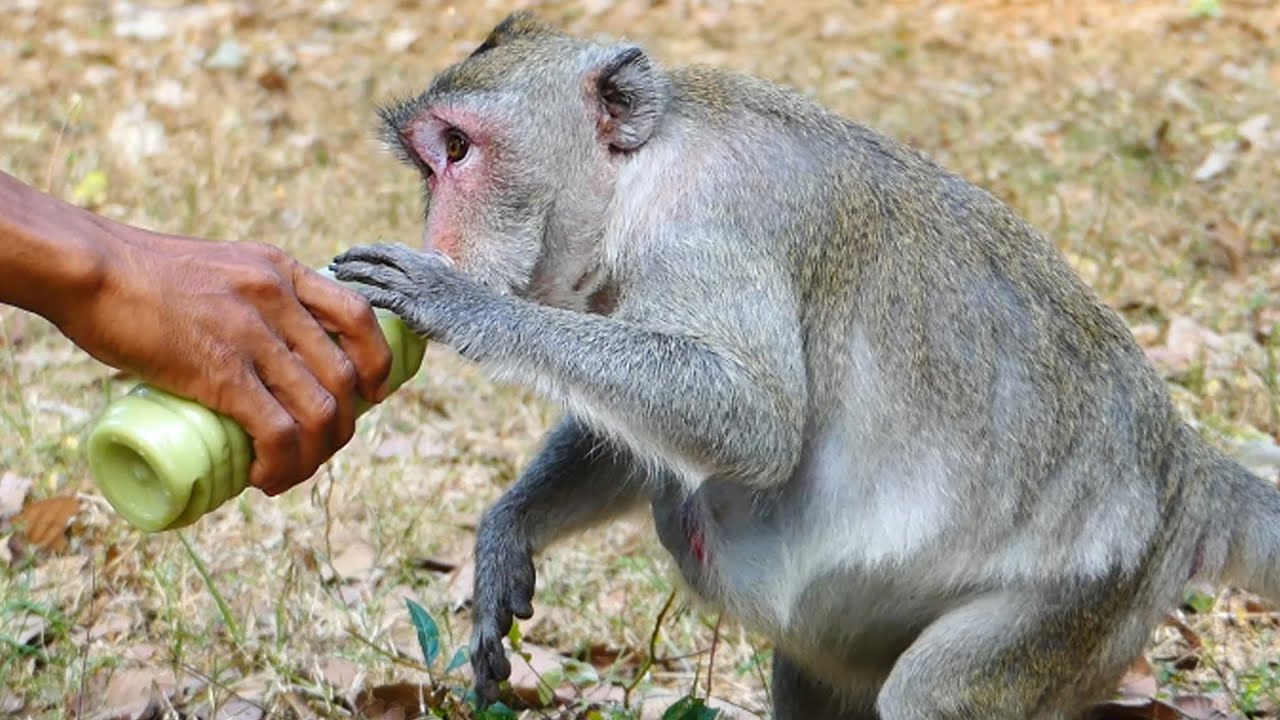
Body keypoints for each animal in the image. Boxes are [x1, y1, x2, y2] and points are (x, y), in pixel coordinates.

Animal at [329, 11, 1280, 720]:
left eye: (458, 150)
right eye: (428, 164)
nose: (435, 230)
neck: (641, 174)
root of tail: (1186, 475)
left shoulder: (709, 226)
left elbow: (747, 421)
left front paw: (458, 304)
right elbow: (643, 438)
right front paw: (507, 533)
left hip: (1080, 605)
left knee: (932, 693)